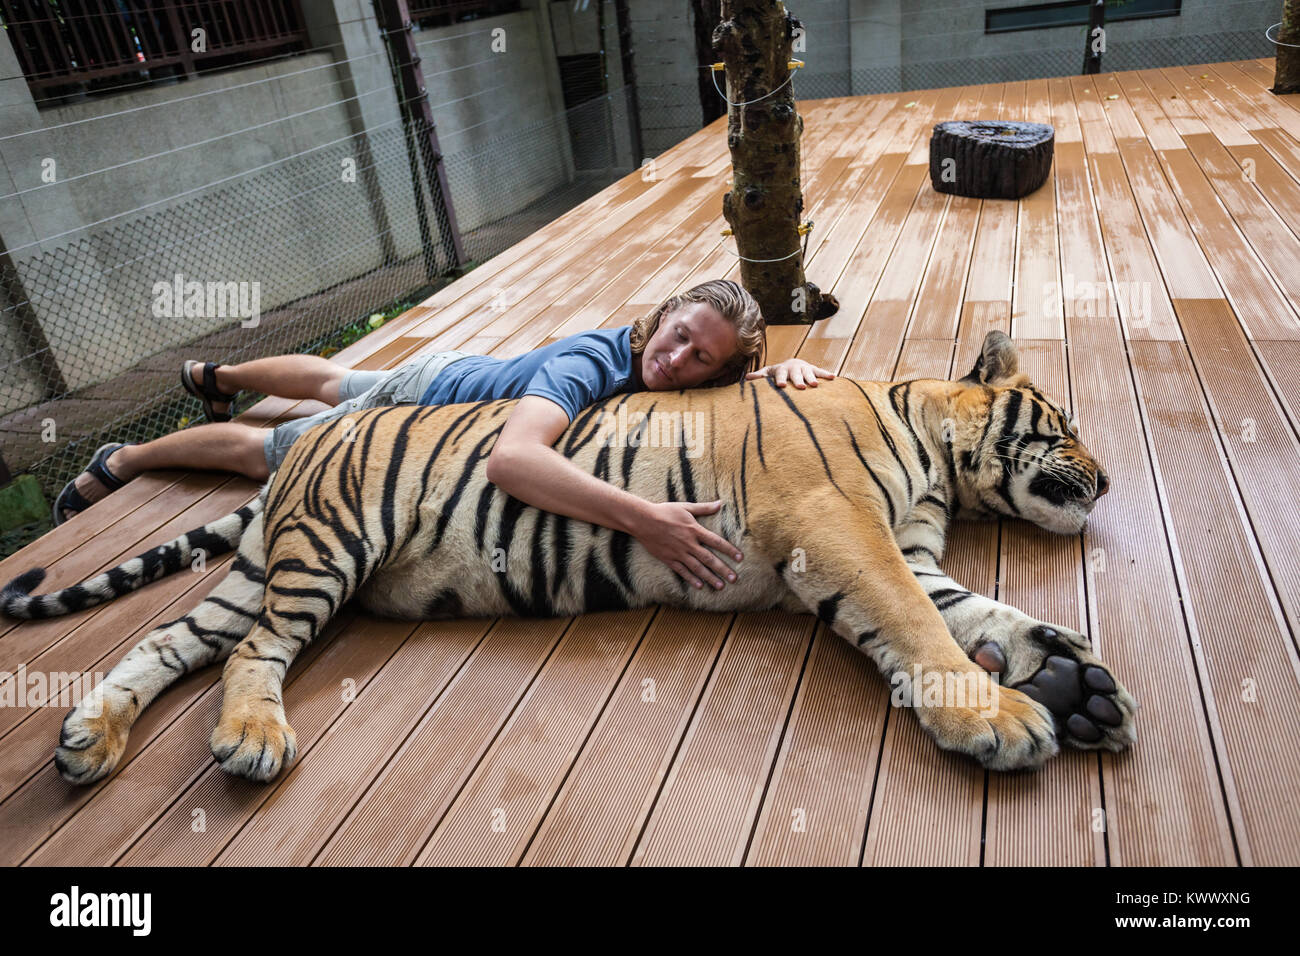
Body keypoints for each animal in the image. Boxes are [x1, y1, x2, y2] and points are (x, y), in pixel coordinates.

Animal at [1, 330, 1136, 784]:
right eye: (1068, 421)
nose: (1113, 480)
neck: (937, 454)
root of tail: (299, 457)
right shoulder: (840, 530)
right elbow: (917, 620)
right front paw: (1000, 717)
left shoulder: (890, 543)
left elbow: (971, 610)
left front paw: (1073, 681)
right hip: (328, 547)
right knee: (247, 656)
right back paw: (250, 740)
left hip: (260, 574)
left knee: (168, 638)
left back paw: (89, 741)